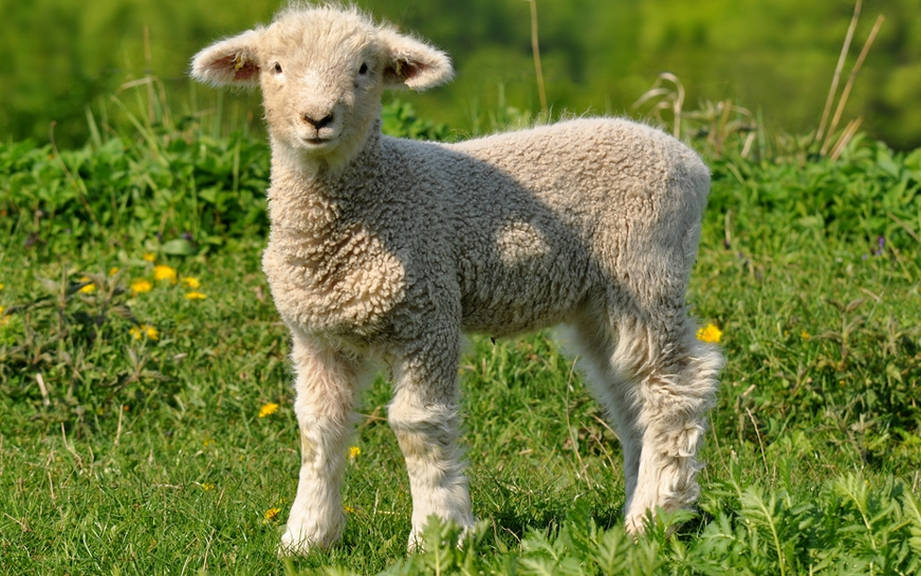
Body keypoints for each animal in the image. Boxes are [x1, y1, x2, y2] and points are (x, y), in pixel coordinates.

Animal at [191, 3, 723, 555]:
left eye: (365, 68)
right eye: (276, 67)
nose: (317, 119)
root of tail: (692, 163)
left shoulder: (429, 313)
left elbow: (417, 426)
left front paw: (436, 534)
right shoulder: (316, 335)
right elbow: (318, 430)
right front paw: (306, 537)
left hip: (645, 270)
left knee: (675, 389)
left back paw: (655, 516)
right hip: (599, 301)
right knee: (628, 395)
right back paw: (635, 511)